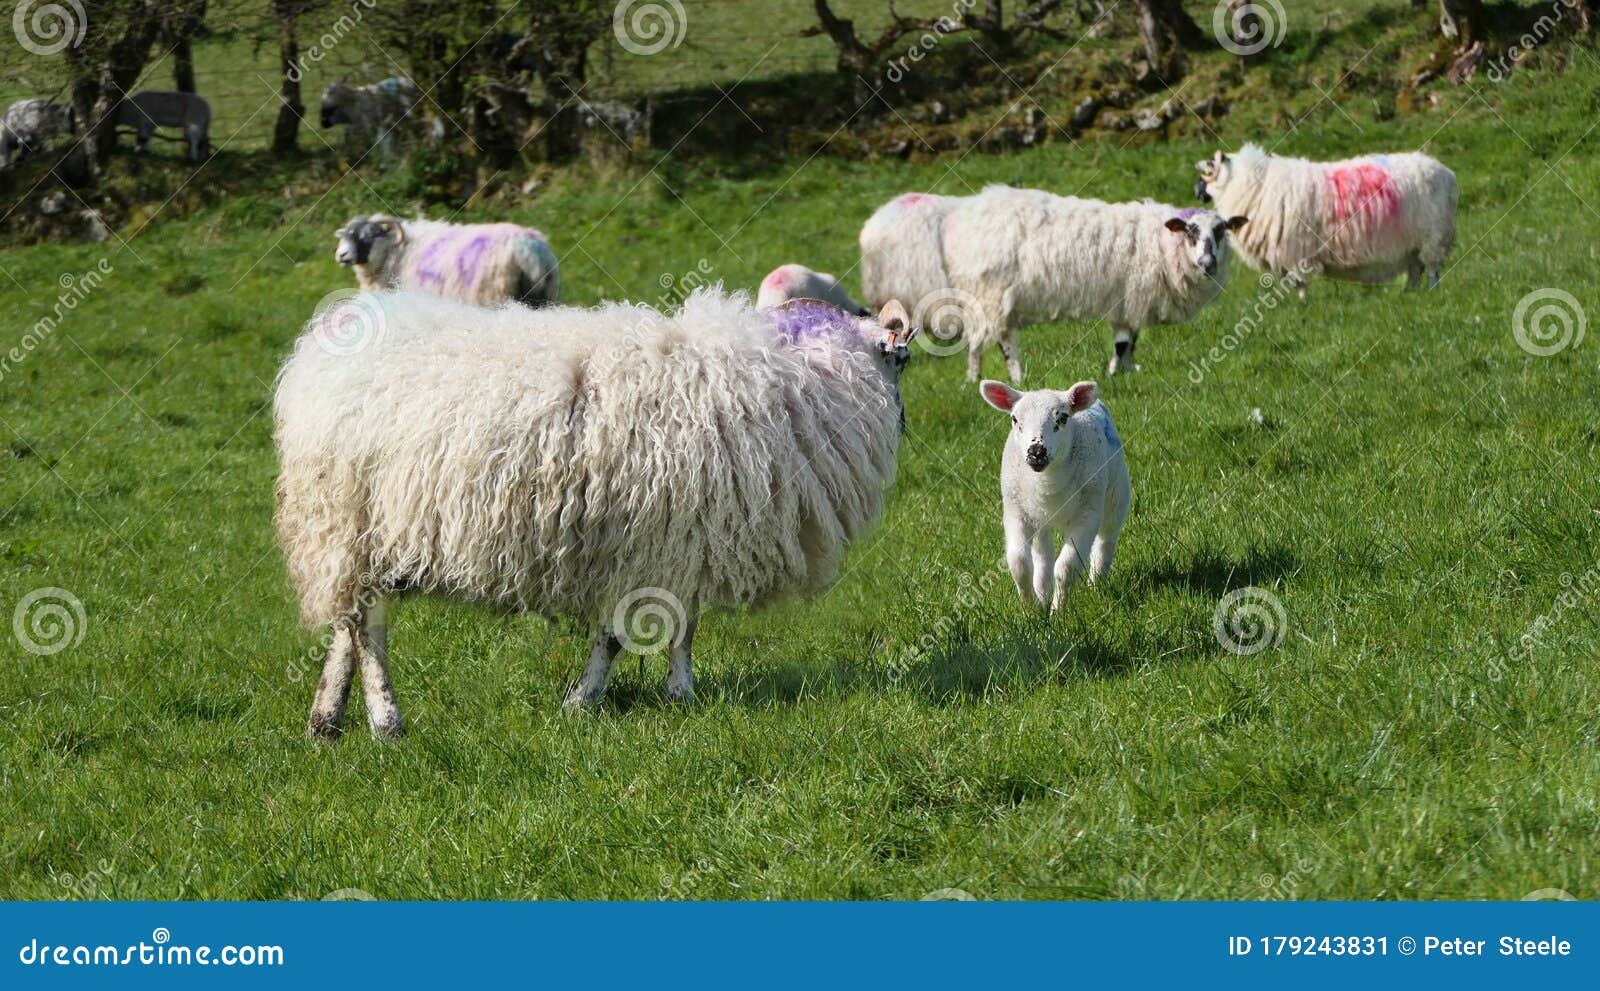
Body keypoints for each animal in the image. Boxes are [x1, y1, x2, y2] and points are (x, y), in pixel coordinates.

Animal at [273, 288, 915, 737]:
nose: (909, 422)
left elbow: (678, 627)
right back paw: (387, 723)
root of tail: (326, 342)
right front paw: (590, 701)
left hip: (362, 534)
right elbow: (623, 635)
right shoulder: (659, 542)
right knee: (367, 629)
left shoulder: (681, 541)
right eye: (902, 359)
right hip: (346, 515)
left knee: (348, 621)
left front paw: (672, 694)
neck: (803, 383)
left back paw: (326, 720)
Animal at [865, 185, 1246, 380]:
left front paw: (1124, 372)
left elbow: (1128, 340)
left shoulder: (1126, 300)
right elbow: (1124, 341)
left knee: (991, 339)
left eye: (1221, 231)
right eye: (1192, 232)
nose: (1208, 264)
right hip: (988, 291)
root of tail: (958, 215)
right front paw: (1117, 375)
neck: (1159, 243)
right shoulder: (1133, 293)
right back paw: (991, 380)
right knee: (989, 341)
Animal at [979, 379, 1130, 612]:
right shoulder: (1016, 512)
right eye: (1015, 419)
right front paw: (1032, 610)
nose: (1036, 452)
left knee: (1105, 542)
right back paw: (1042, 595)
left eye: (1063, 418)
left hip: (1117, 495)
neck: (1047, 484)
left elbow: (1066, 567)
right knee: (1043, 557)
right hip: (1039, 519)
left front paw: (1058, 611)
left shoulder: (1087, 516)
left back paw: (1096, 586)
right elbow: (1019, 564)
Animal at [1194, 143, 1458, 294]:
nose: (1196, 192)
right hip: (1415, 243)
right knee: (1416, 269)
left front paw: (1303, 308)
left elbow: (1300, 284)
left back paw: (1432, 293)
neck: (1248, 184)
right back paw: (1409, 294)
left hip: (1433, 235)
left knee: (1431, 269)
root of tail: (1447, 172)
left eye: (1207, 170)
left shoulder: (1294, 251)